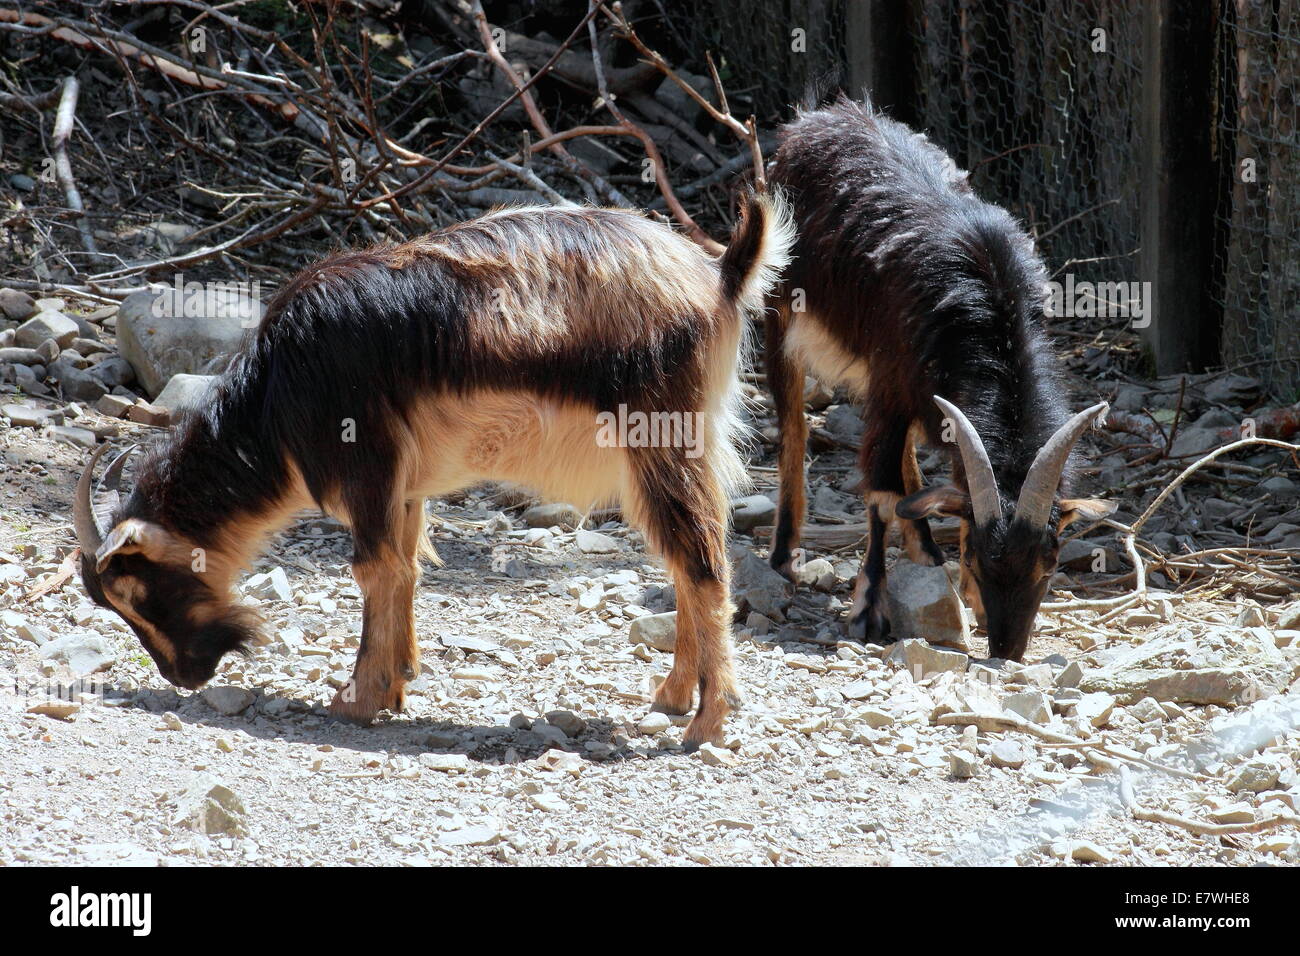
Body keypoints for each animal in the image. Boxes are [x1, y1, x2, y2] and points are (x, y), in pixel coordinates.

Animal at [75, 194, 793, 747]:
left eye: (138, 590)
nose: (184, 676)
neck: (276, 393)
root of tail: (718, 276)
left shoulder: (365, 463)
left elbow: (374, 568)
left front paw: (358, 698)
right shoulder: (404, 487)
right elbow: (407, 566)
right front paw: (398, 680)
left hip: (660, 441)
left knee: (701, 560)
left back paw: (706, 722)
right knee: (686, 556)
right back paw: (674, 694)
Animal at [764, 97, 1112, 661]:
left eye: (1050, 565)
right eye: (973, 558)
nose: (1007, 651)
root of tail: (822, 115)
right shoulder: (889, 381)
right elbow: (880, 490)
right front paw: (869, 608)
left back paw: (924, 550)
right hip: (782, 305)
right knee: (793, 423)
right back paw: (782, 555)